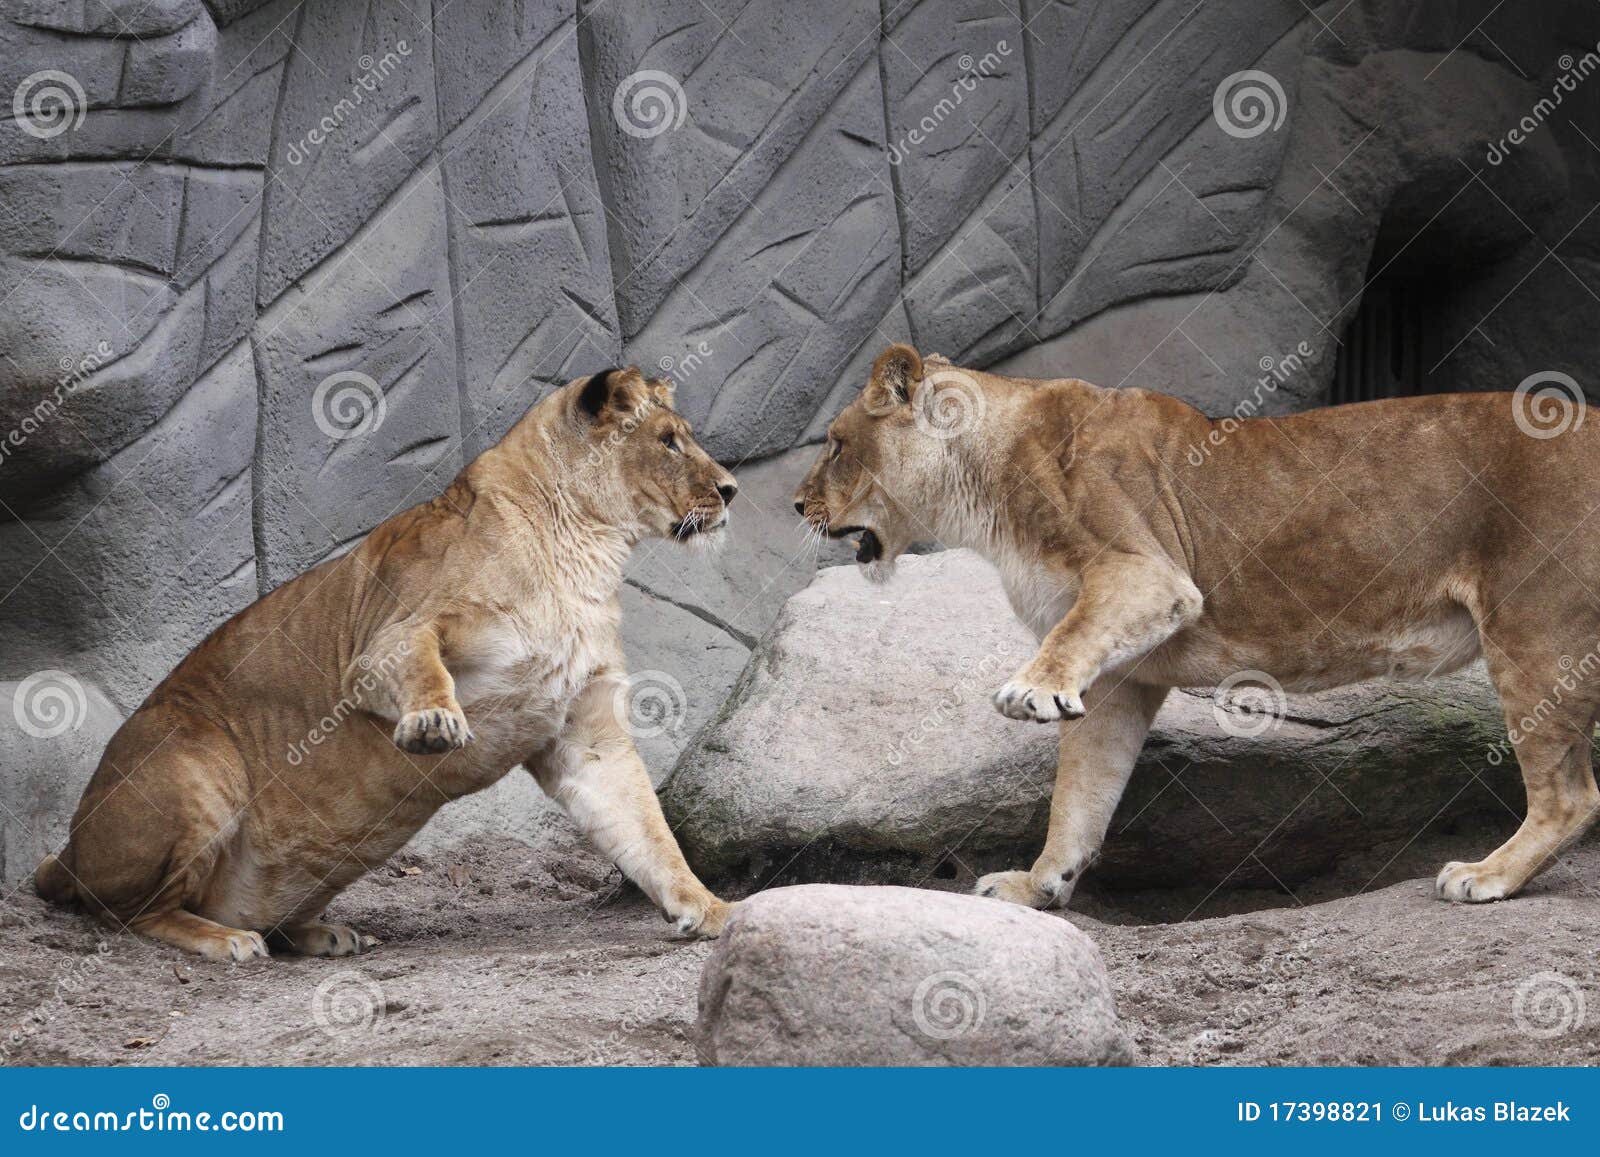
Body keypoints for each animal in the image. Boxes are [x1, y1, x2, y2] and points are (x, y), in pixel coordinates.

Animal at [35, 368, 737, 960]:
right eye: (669, 442)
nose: (731, 489)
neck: (587, 553)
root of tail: (65, 853)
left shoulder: (584, 732)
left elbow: (647, 831)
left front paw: (711, 909)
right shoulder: (388, 639)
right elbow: (424, 667)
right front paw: (433, 723)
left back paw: (322, 933)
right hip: (198, 764)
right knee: (129, 911)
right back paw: (225, 940)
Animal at [795, 343, 1600, 909]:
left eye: (835, 443)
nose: (796, 505)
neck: (985, 482)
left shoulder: (1148, 573)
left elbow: (1064, 651)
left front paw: (1030, 690)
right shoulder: (1119, 679)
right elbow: (1079, 796)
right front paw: (1038, 886)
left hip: (1535, 628)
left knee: (1570, 794)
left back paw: (1487, 874)